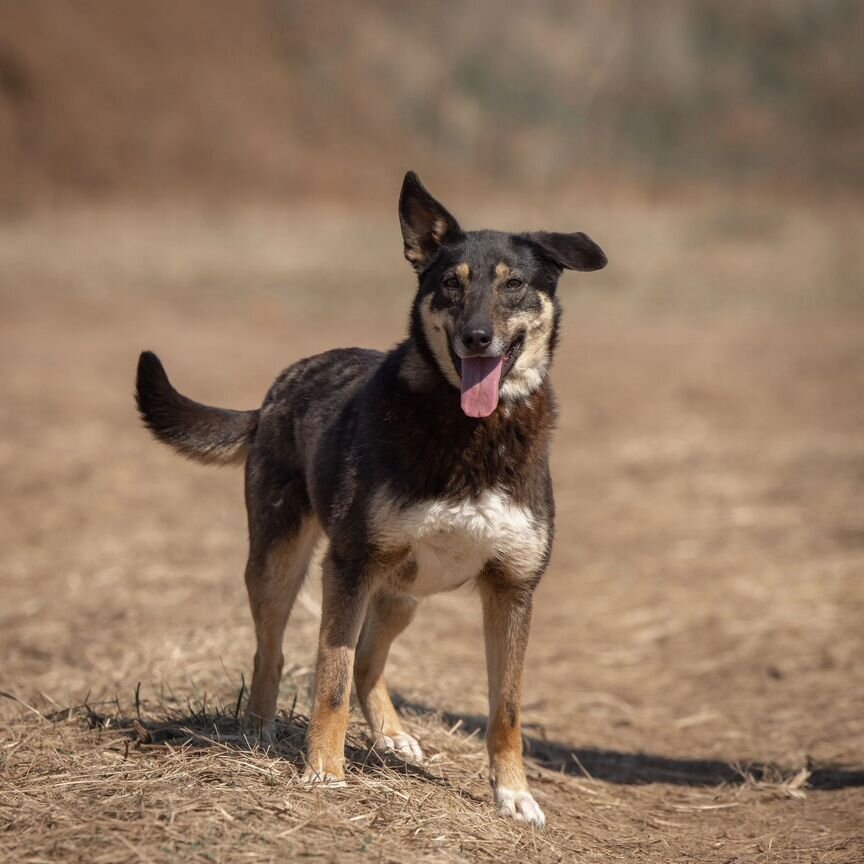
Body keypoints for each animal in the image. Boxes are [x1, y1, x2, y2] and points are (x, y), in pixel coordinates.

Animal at [135, 172, 608, 828]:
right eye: (450, 284)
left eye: (514, 283)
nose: (477, 338)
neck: (470, 431)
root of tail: (274, 393)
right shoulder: (350, 565)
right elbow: (328, 680)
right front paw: (324, 773)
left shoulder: (512, 589)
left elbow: (506, 708)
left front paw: (514, 794)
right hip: (280, 564)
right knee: (272, 654)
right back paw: (258, 730)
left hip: (403, 593)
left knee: (367, 658)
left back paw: (391, 734)